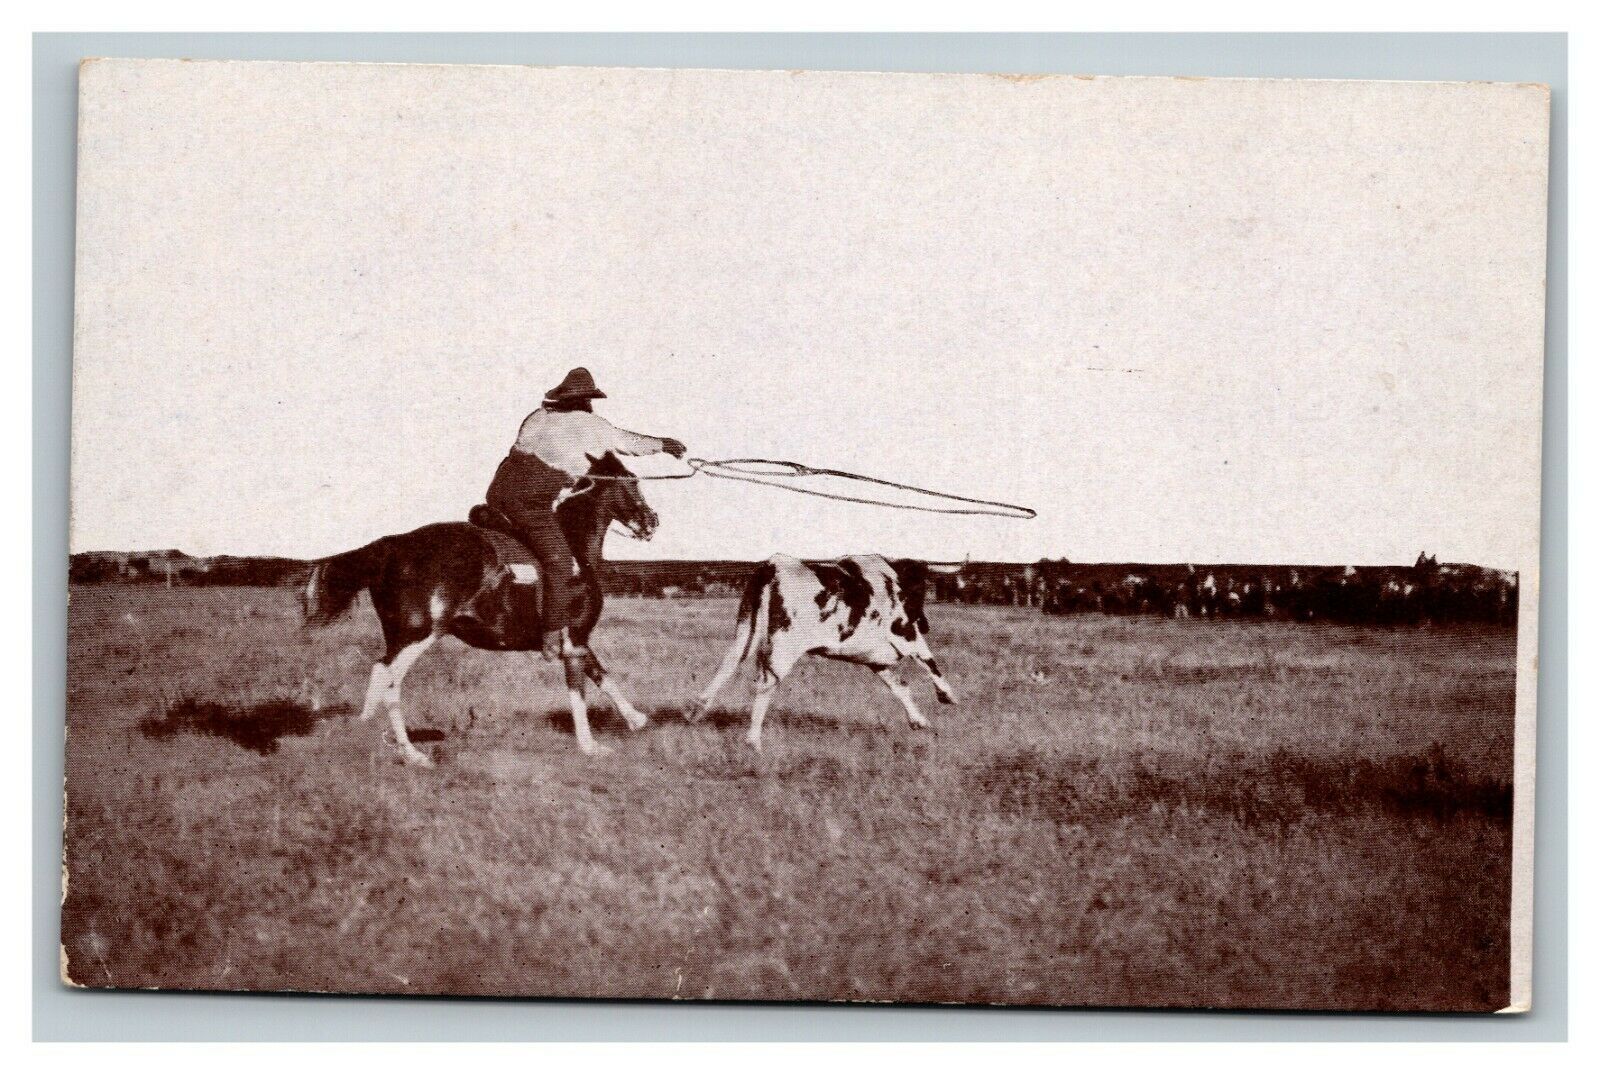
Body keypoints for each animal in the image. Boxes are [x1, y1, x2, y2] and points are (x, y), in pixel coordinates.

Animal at [687, 554, 958, 750]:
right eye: (920, 591)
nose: (925, 623)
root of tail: (774, 564)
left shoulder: (876, 658)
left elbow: (899, 686)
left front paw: (918, 720)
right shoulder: (906, 634)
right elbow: (929, 662)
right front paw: (948, 696)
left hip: (746, 633)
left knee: (728, 665)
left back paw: (695, 711)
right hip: (784, 647)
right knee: (764, 684)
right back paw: (753, 740)